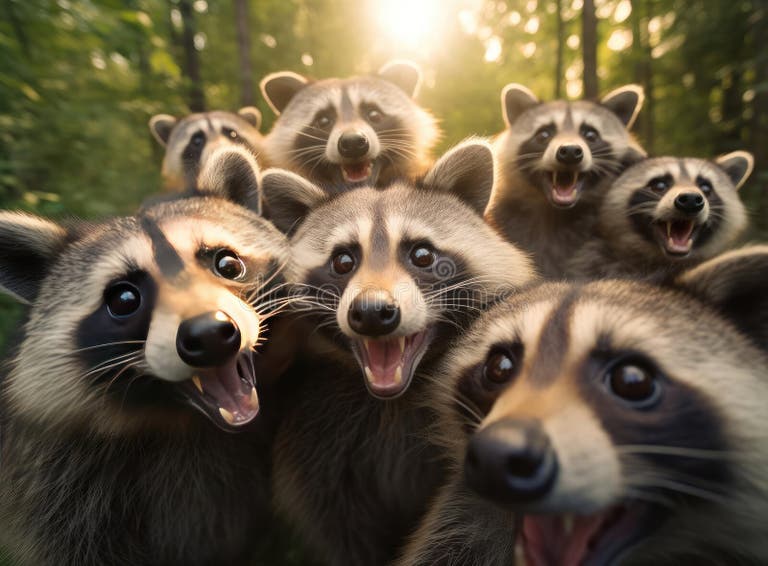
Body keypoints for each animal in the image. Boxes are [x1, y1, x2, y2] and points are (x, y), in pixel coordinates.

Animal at [260, 140, 537, 565]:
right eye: (343, 260)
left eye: (421, 255)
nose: (373, 313)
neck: (395, 396)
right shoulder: (317, 439)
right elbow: (342, 531)